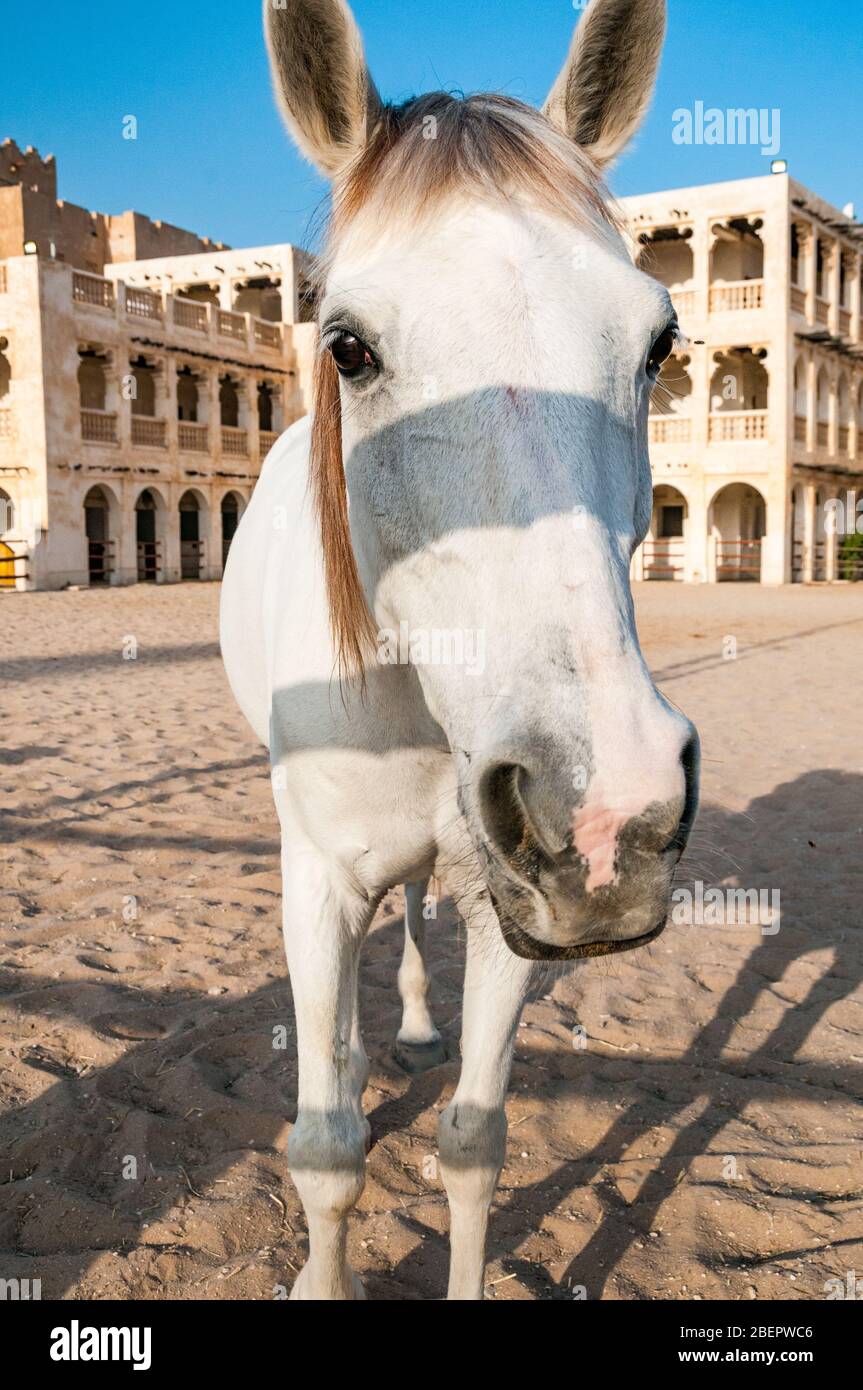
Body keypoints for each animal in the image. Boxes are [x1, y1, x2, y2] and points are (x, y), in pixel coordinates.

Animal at [220, 0, 699, 1300]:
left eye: (657, 344)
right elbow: (327, 1149)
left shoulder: (505, 907)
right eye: (346, 346)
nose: (607, 809)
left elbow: (474, 1143)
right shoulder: (314, 880)